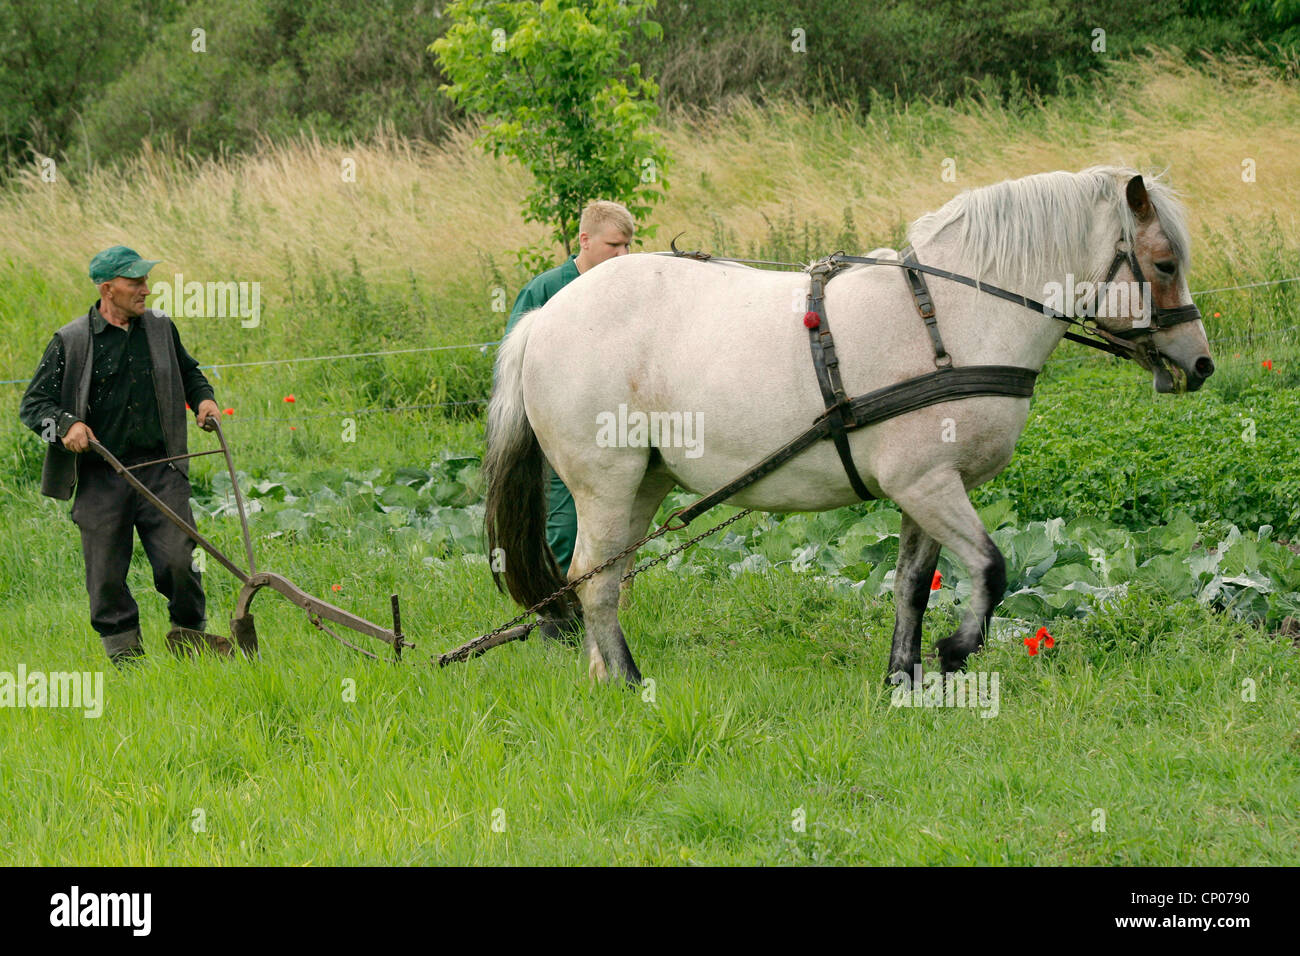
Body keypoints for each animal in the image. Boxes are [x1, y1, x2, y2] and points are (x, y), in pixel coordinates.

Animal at [484, 166, 1214, 687]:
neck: (952, 317)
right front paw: (956, 649)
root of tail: (544, 317)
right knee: (596, 579)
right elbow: (991, 566)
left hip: (643, 483)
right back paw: (629, 682)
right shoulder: (930, 484)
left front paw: (903, 677)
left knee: (601, 575)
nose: (1200, 363)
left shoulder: (924, 490)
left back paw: (603, 674)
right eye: (1164, 263)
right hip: (606, 482)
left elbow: (913, 585)